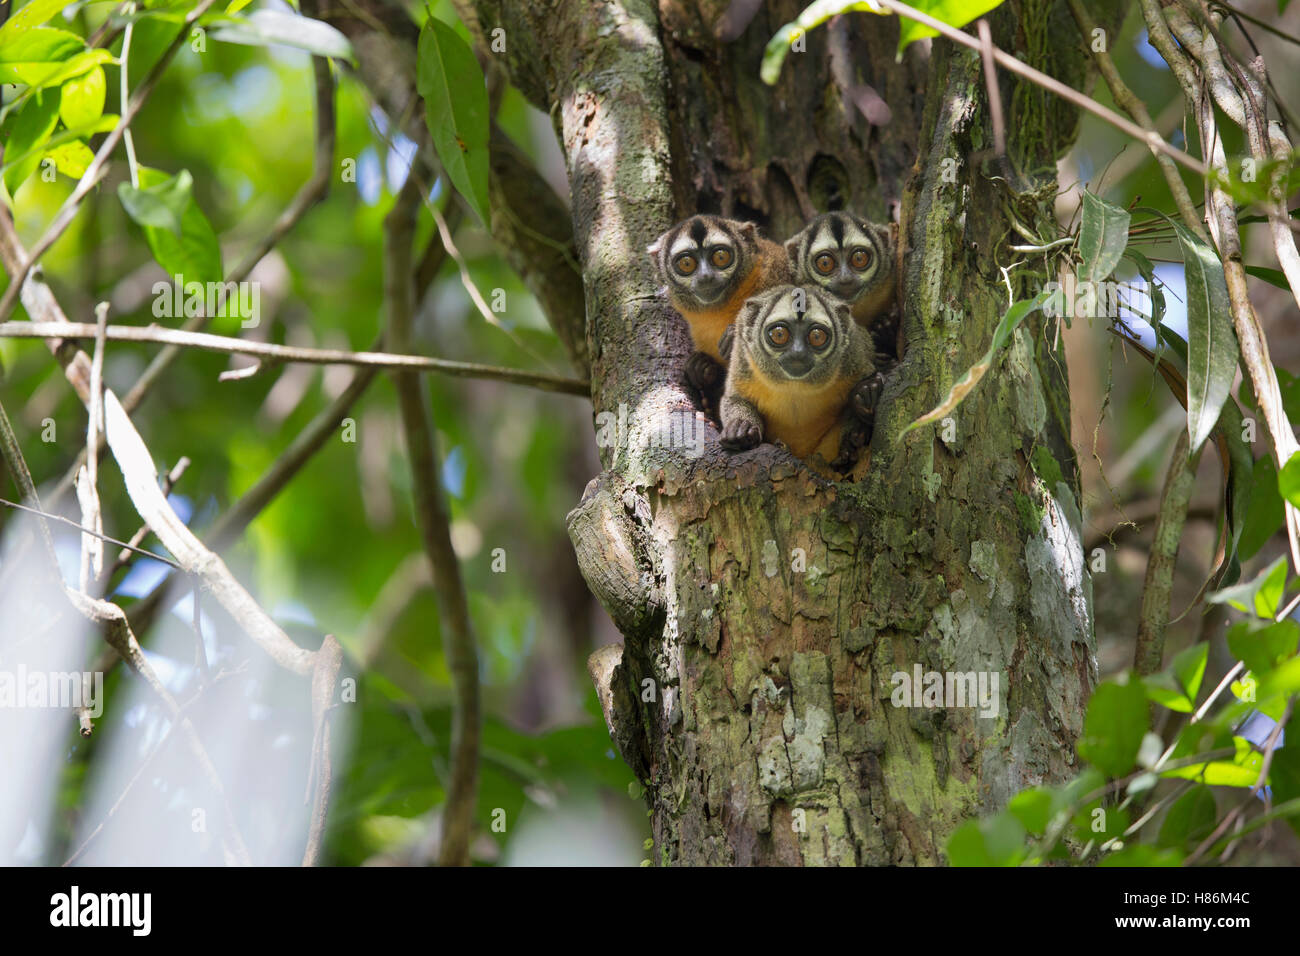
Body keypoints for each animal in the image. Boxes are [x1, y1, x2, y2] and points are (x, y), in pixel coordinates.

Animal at [648, 215, 792, 418]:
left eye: (721, 257)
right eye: (686, 263)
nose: (705, 276)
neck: (726, 302)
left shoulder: (774, 269)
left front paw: (732, 337)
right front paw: (700, 368)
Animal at [719, 285, 884, 472]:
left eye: (817, 336)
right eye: (779, 334)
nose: (798, 353)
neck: (795, 384)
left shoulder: (854, 355)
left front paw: (867, 395)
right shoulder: (743, 357)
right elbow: (734, 397)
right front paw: (741, 429)